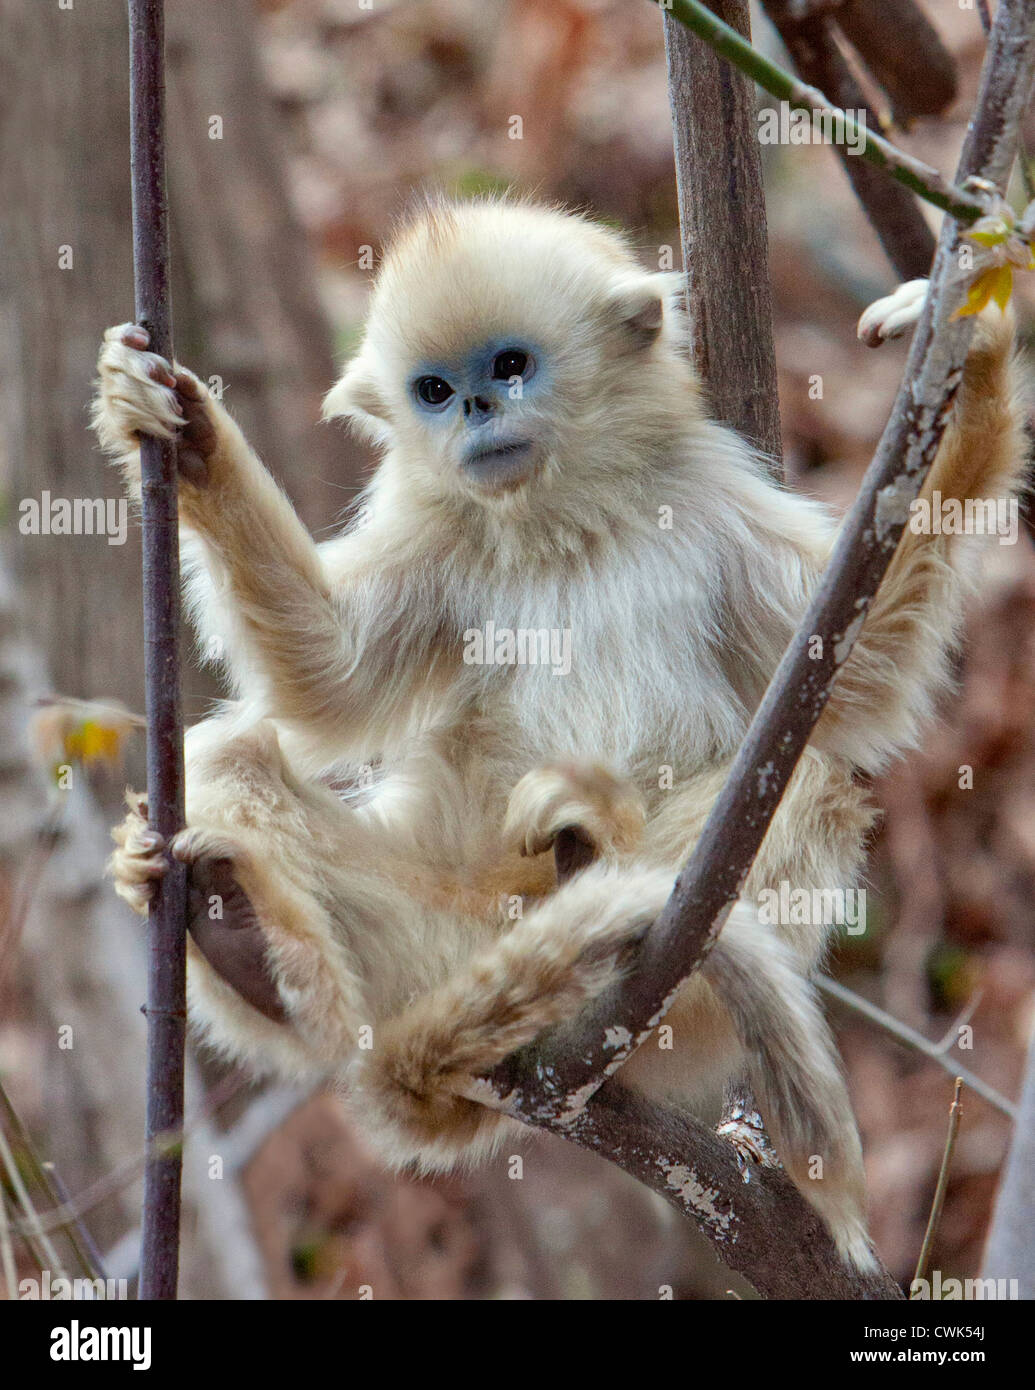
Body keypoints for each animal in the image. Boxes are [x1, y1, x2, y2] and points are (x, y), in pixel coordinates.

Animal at [92, 198, 1027, 1274]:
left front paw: (977, 360)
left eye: (509, 367)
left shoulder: (708, 494)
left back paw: (599, 856)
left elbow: (858, 678)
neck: (563, 520)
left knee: (810, 785)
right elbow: (327, 680)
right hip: (431, 943)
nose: (474, 412)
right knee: (231, 758)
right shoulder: (437, 530)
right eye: (433, 390)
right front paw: (185, 433)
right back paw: (241, 931)